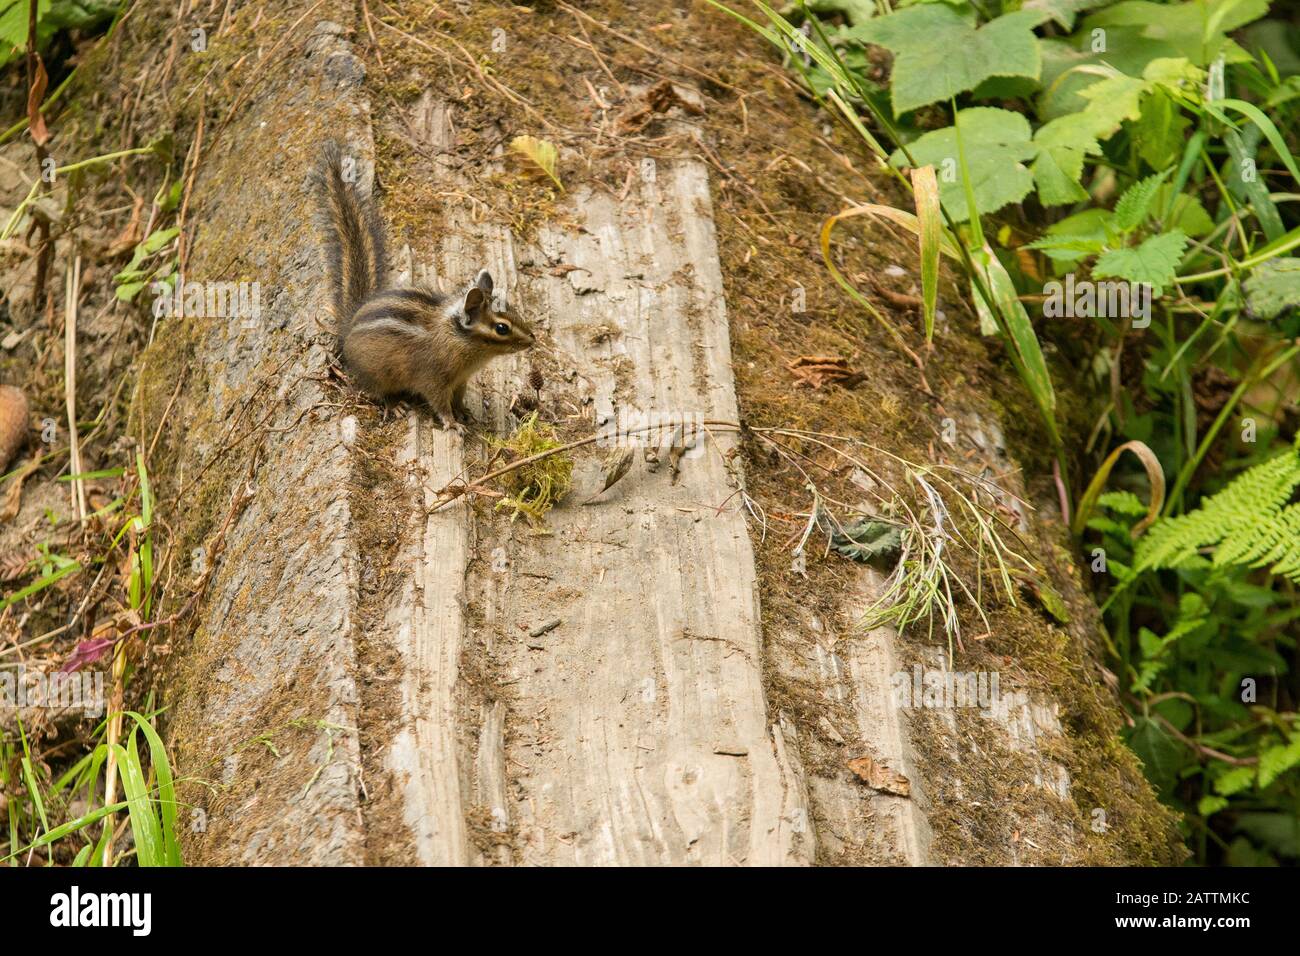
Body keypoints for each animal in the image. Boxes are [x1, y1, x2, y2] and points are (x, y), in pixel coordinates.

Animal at [312, 141, 535, 431]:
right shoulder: (433, 379)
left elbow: (458, 398)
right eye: (501, 328)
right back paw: (395, 405)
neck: (458, 340)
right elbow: (439, 402)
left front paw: (464, 412)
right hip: (377, 373)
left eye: (512, 308)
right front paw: (452, 423)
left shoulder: (461, 381)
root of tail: (349, 325)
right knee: (377, 390)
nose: (532, 339)